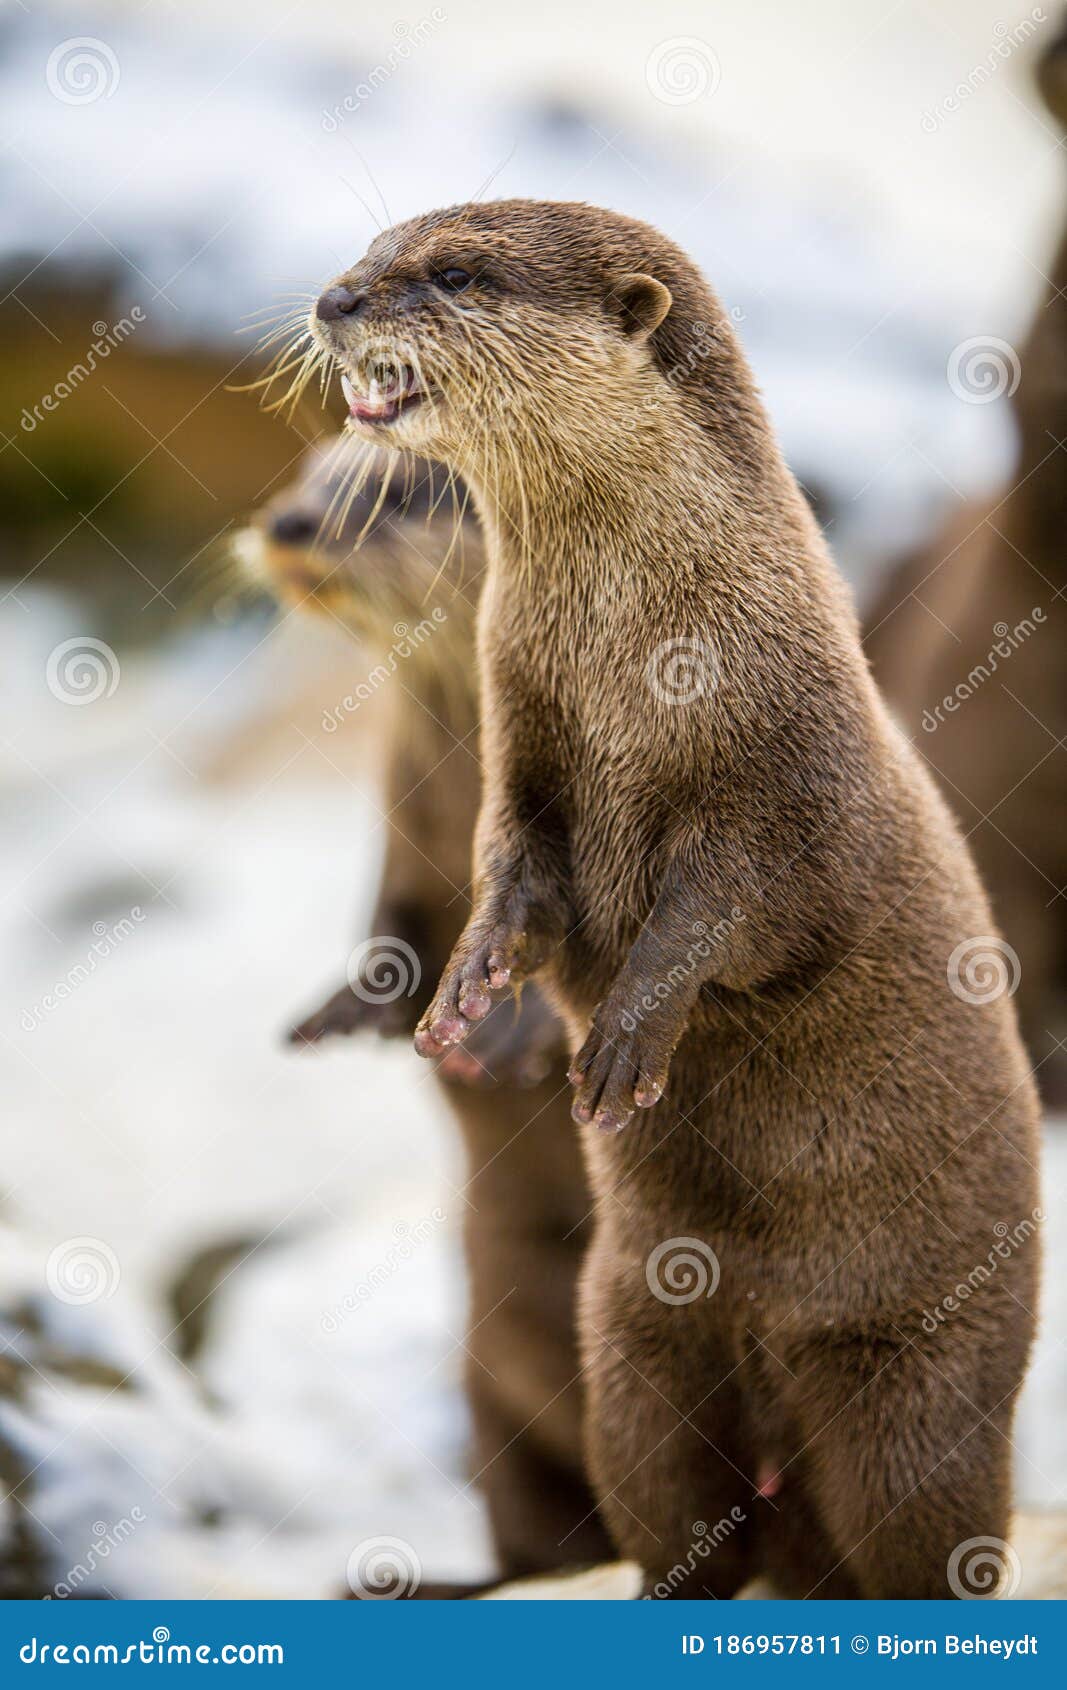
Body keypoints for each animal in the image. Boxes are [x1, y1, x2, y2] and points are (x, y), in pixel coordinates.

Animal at [238, 435, 612, 1583]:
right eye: (305, 480)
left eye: (394, 492)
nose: (286, 524)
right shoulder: (401, 836)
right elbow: (386, 935)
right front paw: (334, 1015)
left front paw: (511, 1037)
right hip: (488, 1392)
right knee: (534, 1536)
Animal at [310, 199, 1042, 1599]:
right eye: (374, 246)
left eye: (457, 271)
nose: (333, 299)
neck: (640, 660)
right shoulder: (525, 744)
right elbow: (513, 877)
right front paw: (470, 986)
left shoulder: (786, 783)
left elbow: (730, 915)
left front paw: (622, 1042)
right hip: (633, 1345)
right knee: (672, 1512)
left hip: (918, 1380)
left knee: (922, 1529)